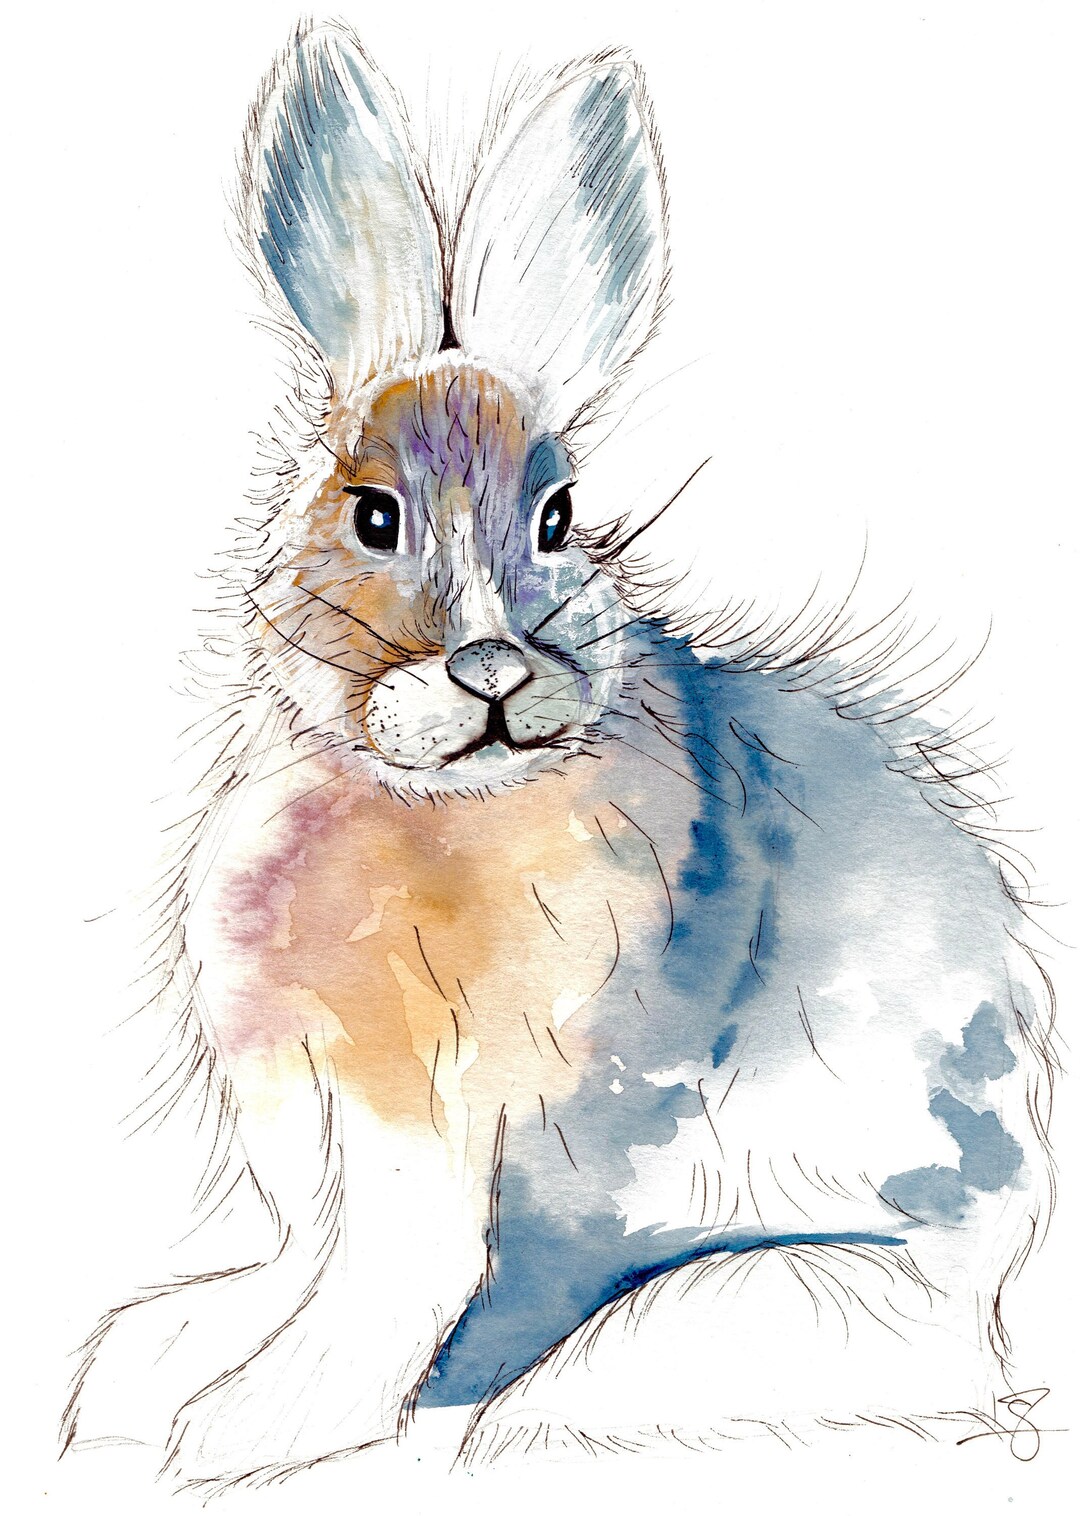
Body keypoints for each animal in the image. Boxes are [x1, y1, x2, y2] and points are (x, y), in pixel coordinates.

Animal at [63, 20, 1056, 1486]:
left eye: (560, 514)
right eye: (371, 515)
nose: (493, 675)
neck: (431, 798)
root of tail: (997, 1315)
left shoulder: (442, 1123)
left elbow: (390, 1276)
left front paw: (243, 1432)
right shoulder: (309, 1115)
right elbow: (306, 1258)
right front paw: (157, 1370)